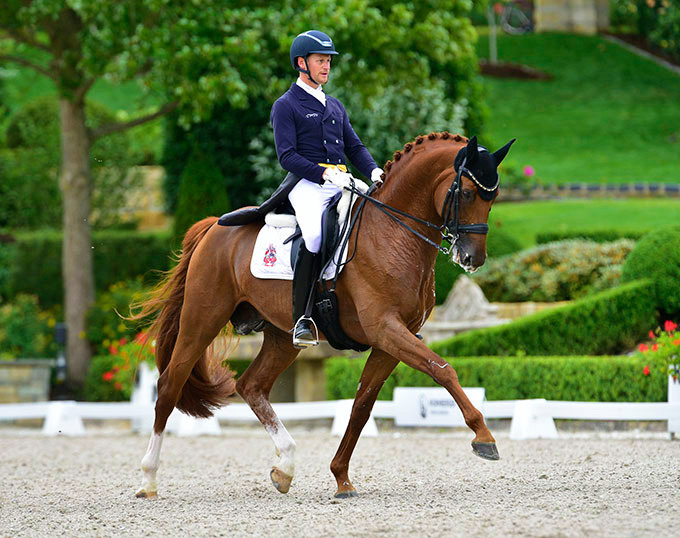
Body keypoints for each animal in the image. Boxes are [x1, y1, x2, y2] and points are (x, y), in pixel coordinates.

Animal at [131, 132, 515, 499]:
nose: (473, 259)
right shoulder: (387, 329)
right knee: (170, 384)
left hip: (282, 335)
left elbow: (362, 405)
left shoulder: (392, 340)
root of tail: (214, 226)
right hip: (202, 318)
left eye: (493, 198)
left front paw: (341, 477)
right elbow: (443, 369)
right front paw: (484, 437)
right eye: (468, 193)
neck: (393, 234)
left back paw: (284, 467)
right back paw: (148, 479)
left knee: (251, 385)